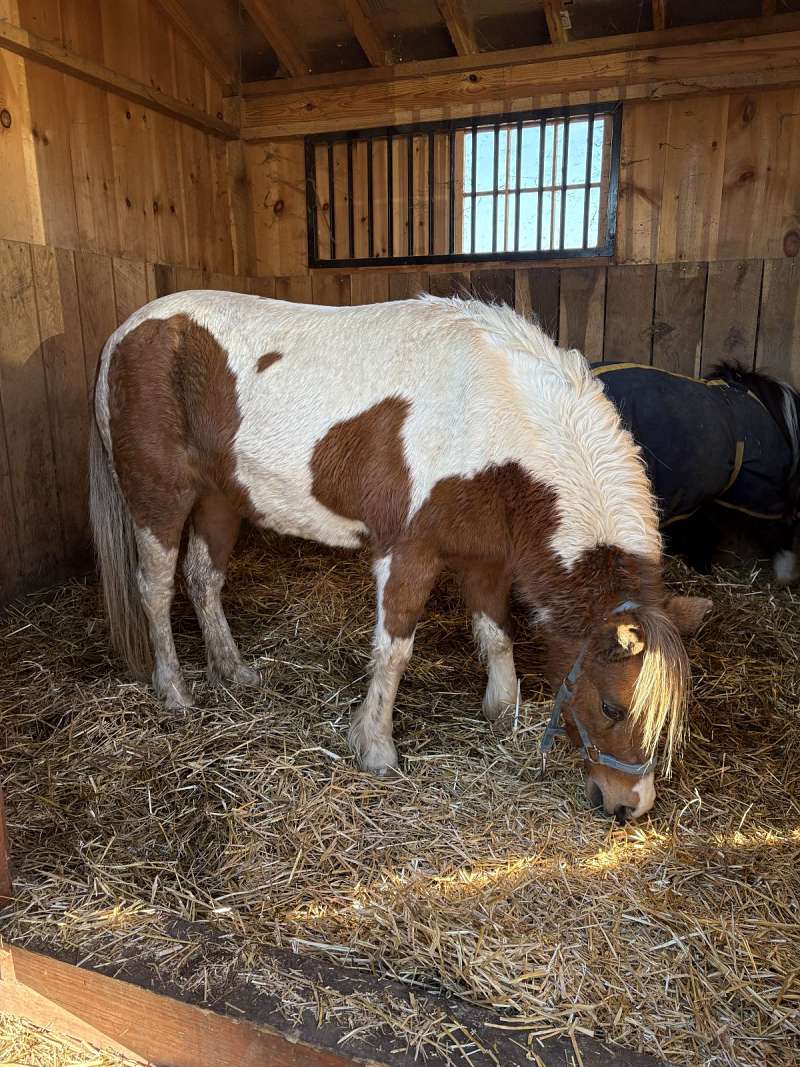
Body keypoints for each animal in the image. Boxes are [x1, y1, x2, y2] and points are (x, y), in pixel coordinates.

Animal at [89, 292, 711, 821]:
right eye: (611, 707)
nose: (629, 805)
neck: (491, 413)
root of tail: (123, 333)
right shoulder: (408, 552)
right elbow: (394, 652)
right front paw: (375, 747)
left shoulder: (485, 557)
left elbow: (496, 633)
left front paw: (502, 710)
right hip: (160, 499)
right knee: (156, 589)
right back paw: (175, 692)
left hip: (221, 497)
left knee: (203, 580)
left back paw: (233, 671)